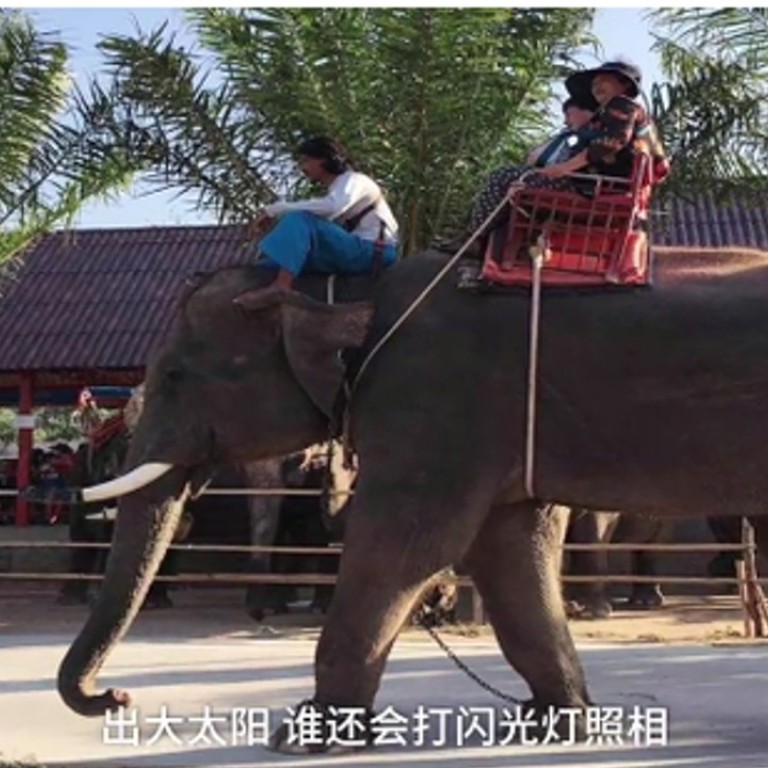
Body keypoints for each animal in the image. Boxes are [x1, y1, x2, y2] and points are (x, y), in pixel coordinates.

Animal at [43, 249, 768, 751]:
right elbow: (509, 549)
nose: (117, 696)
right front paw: (550, 724)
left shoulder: (434, 403)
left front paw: (305, 736)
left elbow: (404, 546)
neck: (348, 286)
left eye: (174, 376)